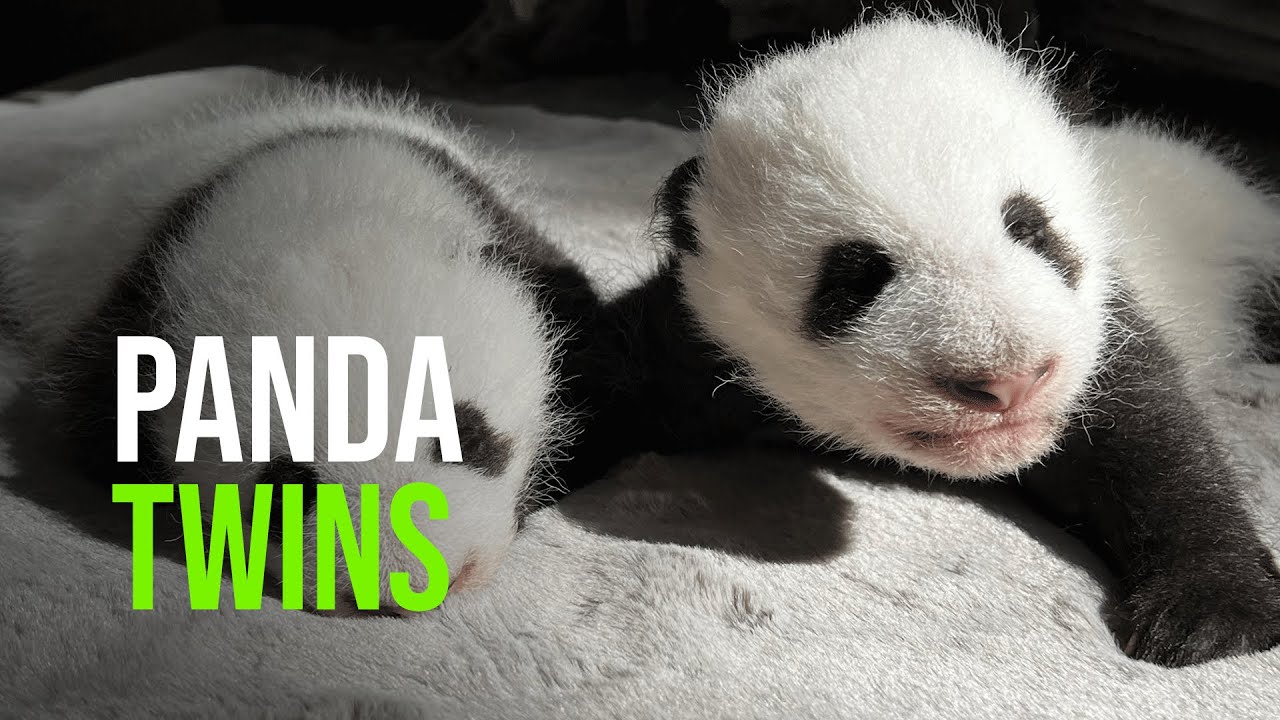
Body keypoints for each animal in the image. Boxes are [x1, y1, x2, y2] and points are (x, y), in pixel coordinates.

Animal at [521, 14, 1280, 667]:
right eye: (856, 279)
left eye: (1032, 230)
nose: (1008, 382)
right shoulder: (700, 341)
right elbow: (592, 386)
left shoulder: (1102, 325)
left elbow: (1156, 440)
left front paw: (1215, 612)